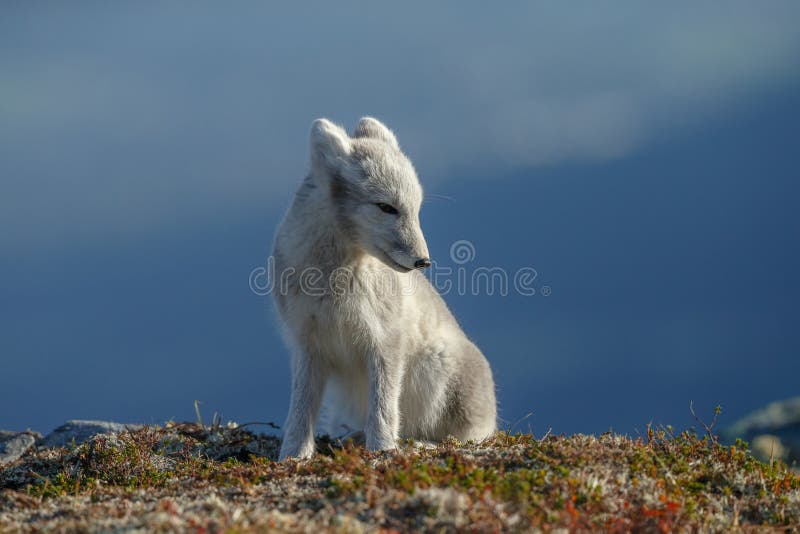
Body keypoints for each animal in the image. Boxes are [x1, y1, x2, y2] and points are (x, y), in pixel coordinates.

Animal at [273, 117, 496, 460]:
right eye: (386, 207)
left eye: (416, 208)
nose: (423, 261)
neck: (334, 281)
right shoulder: (307, 344)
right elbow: (300, 410)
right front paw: (294, 456)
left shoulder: (385, 341)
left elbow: (384, 406)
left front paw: (382, 451)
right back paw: (352, 438)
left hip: (441, 371)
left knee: (462, 438)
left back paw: (420, 443)